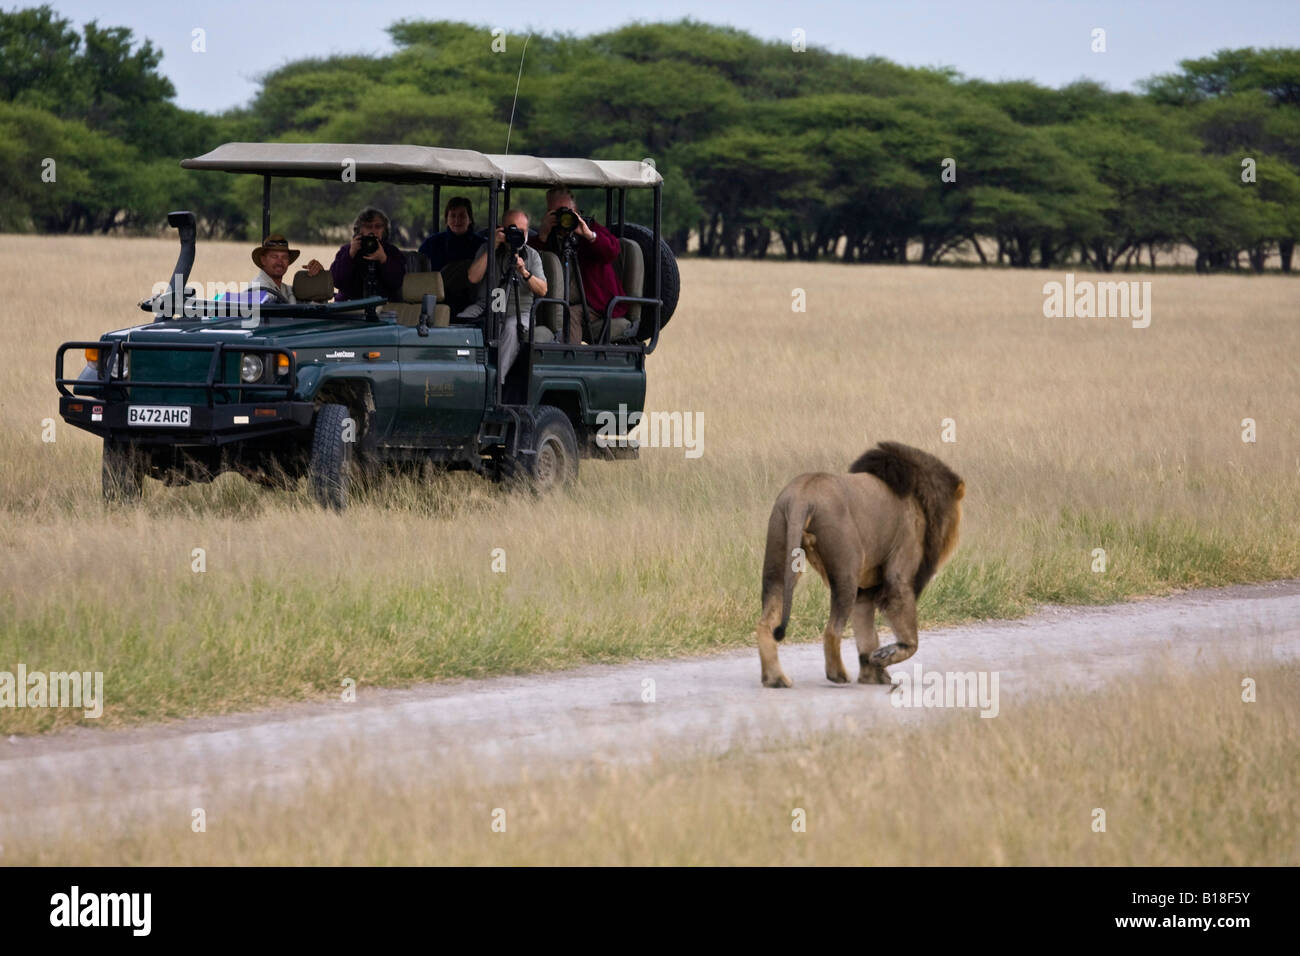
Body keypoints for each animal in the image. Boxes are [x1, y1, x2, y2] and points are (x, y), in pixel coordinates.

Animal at [754, 441, 965, 688]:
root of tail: (802, 495)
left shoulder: (866, 589)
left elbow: (867, 636)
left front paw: (874, 674)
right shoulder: (899, 571)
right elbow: (908, 636)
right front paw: (888, 655)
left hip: (778, 558)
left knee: (765, 623)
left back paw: (775, 679)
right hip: (846, 569)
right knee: (831, 630)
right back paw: (838, 675)